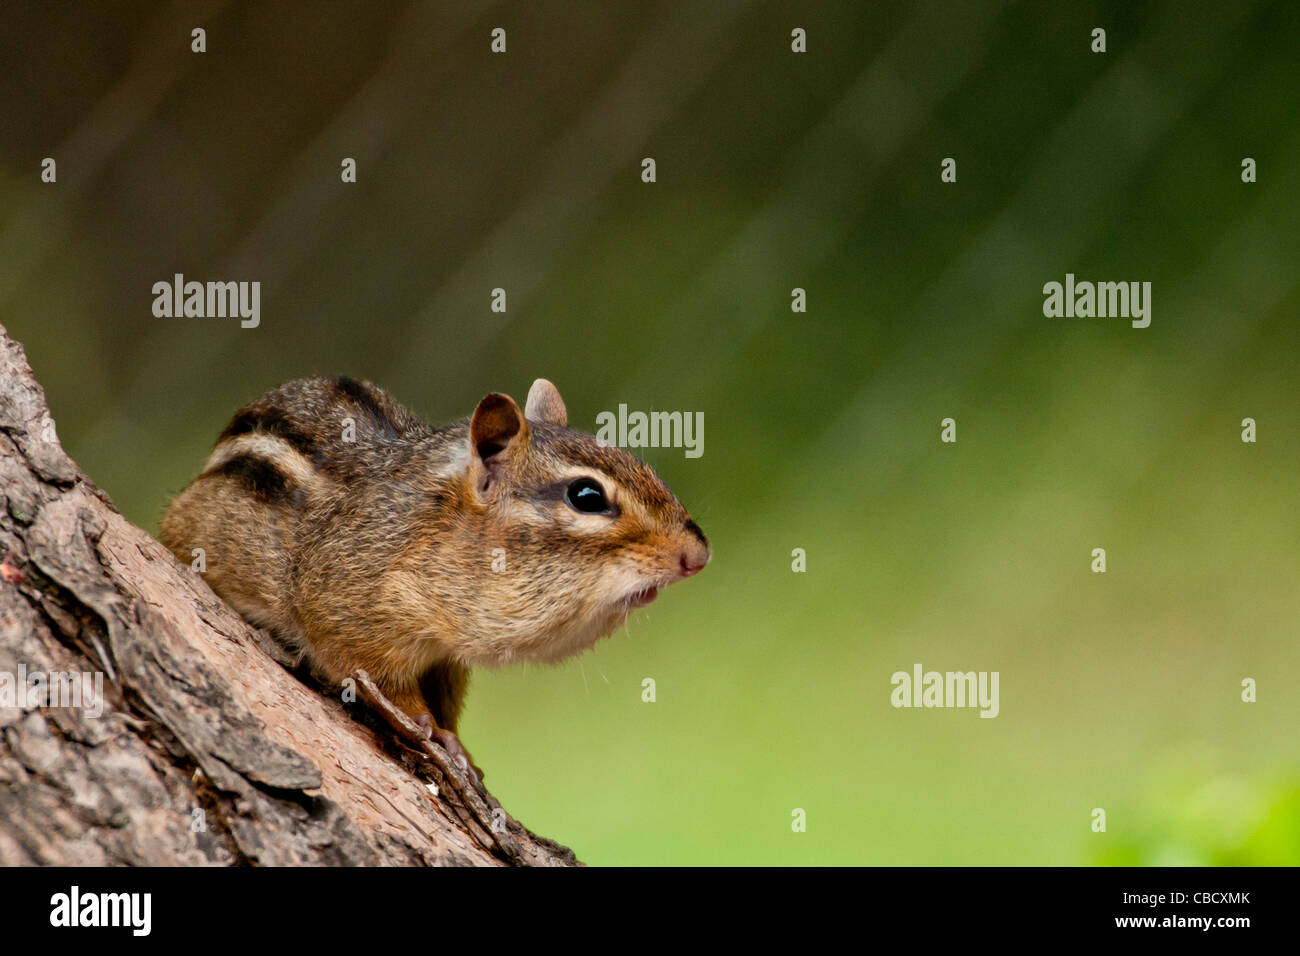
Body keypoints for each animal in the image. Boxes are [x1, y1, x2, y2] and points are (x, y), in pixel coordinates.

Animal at [159, 376, 710, 775]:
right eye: (587, 496)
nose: (699, 555)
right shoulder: (351, 617)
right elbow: (377, 676)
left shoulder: (446, 659)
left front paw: (459, 747)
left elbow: (447, 699)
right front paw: (420, 723)